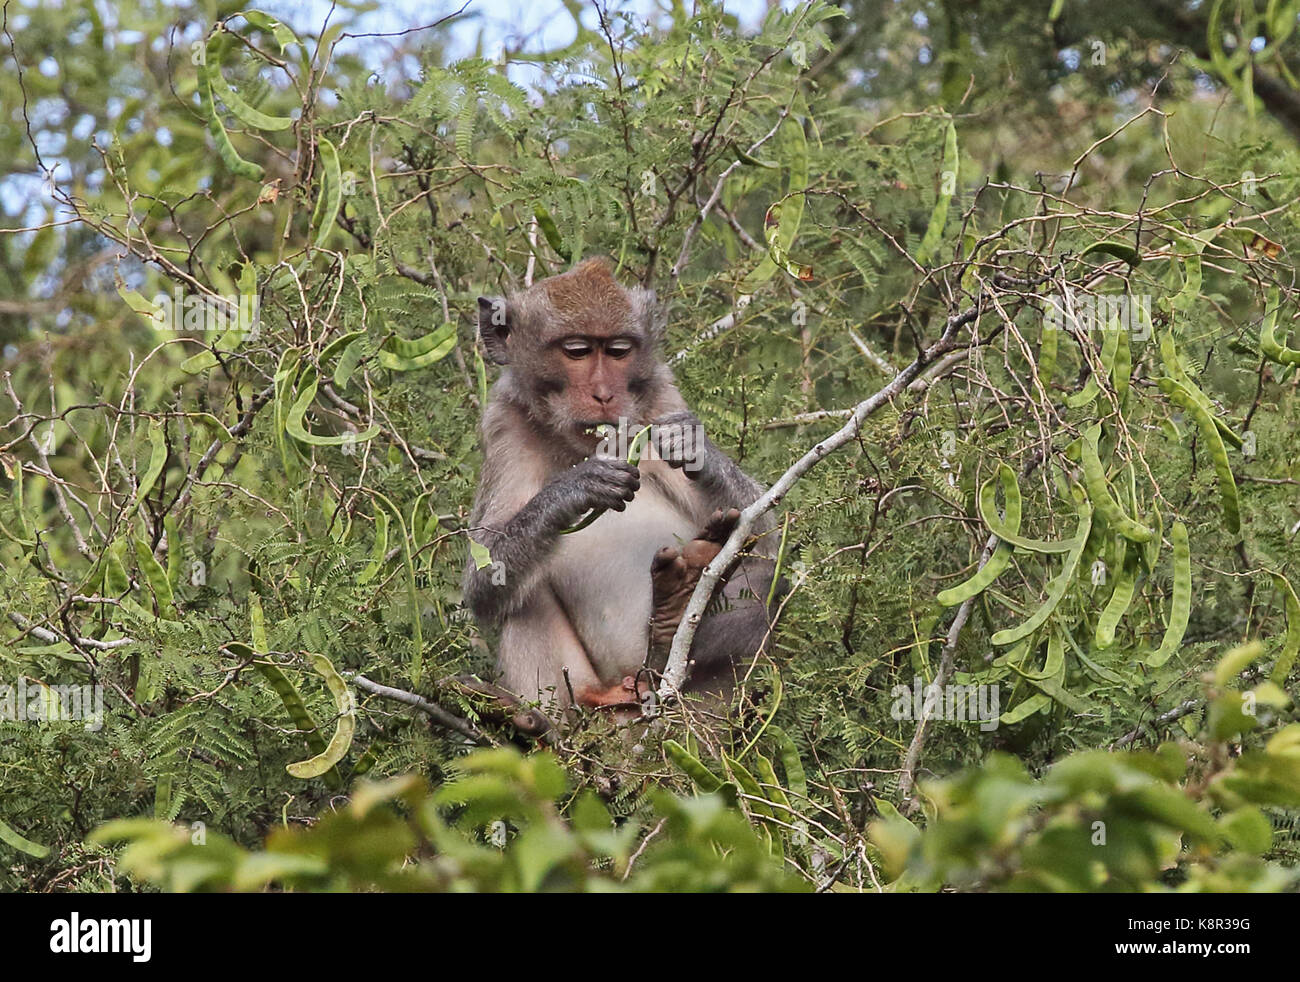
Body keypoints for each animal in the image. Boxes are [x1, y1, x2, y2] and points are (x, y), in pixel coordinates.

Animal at [462, 257, 782, 718]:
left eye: (618, 351)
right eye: (577, 351)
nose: (603, 394)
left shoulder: (662, 397)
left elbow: (765, 537)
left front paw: (693, 446)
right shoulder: (504, 425)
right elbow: (484, 577)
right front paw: (577, 487)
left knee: (766, 587)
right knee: (523, 599)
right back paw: (543, 722)